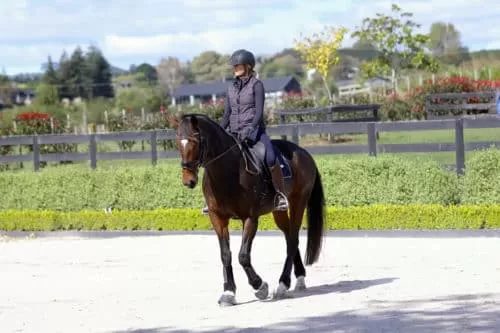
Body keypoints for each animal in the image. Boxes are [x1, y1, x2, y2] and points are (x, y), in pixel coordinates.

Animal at [166, 113, 326, 304]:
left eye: (196, 142)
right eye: (177, 143)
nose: (188, 181)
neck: (228, 171)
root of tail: (303, 152)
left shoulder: (250, 218)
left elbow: (243, 256)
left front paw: (260, 286)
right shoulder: (217, 218)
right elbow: (225, 254)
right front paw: (228, 292)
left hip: (298, 203)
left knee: (293, 240)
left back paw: (282, 284)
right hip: (278, 211)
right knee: (289, 238)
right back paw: (298, 279)